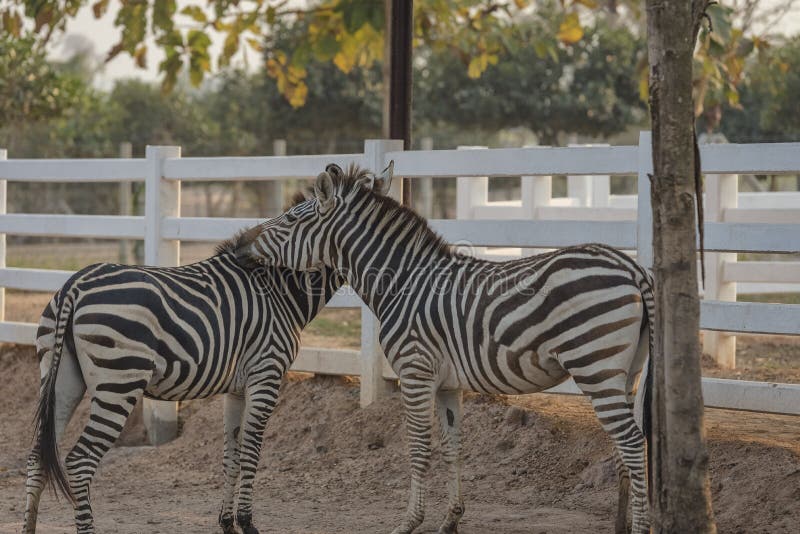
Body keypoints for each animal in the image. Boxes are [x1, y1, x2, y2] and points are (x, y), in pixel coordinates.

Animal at [23, 221, 343, 534]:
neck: (279, 290)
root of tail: (74, 286)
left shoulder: (237, 387)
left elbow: (232, 454)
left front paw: (227, 523)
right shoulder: (266, 373)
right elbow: (250, 453)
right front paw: (246, 523)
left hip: (60, 378)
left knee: (37, 456)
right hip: (119, 381)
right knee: (80, 461)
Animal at [241, 163, 655, 534]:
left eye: (290, 219)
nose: (244, 245)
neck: (403, 283)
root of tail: (631, 267)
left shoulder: (415, 372)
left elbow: (419, 448)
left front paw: (409, 523)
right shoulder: (448, 384)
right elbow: (452, 446)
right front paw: (450, 520)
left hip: (595, 366)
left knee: (634, 442)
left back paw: (641, 527)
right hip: (626, 372)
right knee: (626, 449)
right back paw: (623, 523)